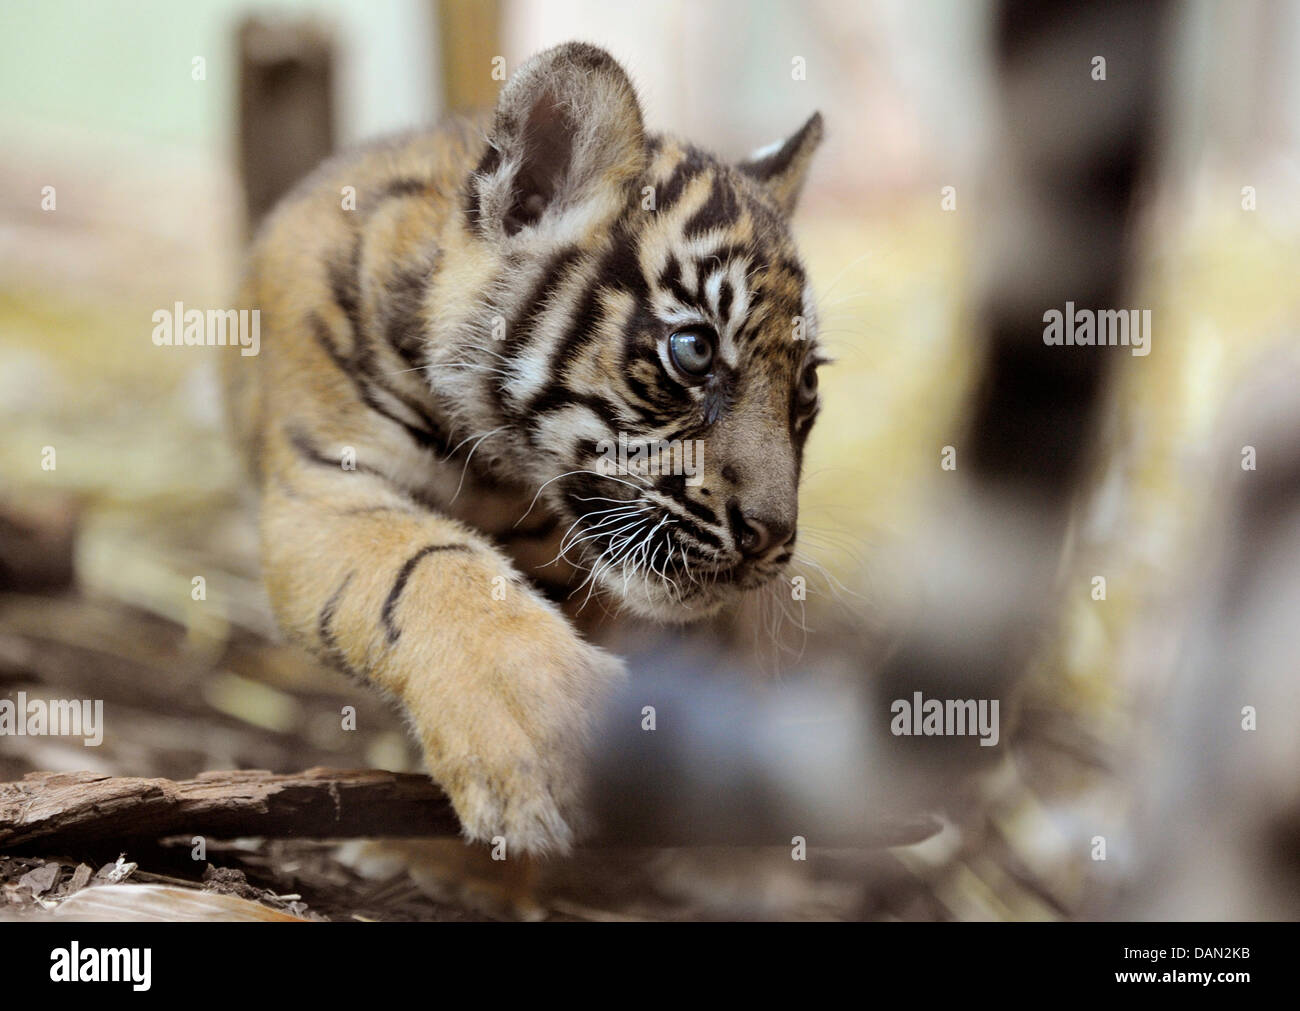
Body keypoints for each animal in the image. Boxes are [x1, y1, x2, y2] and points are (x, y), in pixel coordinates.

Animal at [224, 41, 825, 856]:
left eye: (806, 386)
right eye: (694, 351)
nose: (771, 537)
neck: (502, 471)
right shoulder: (322, 480)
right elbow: (422, 564)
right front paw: (543, 730)